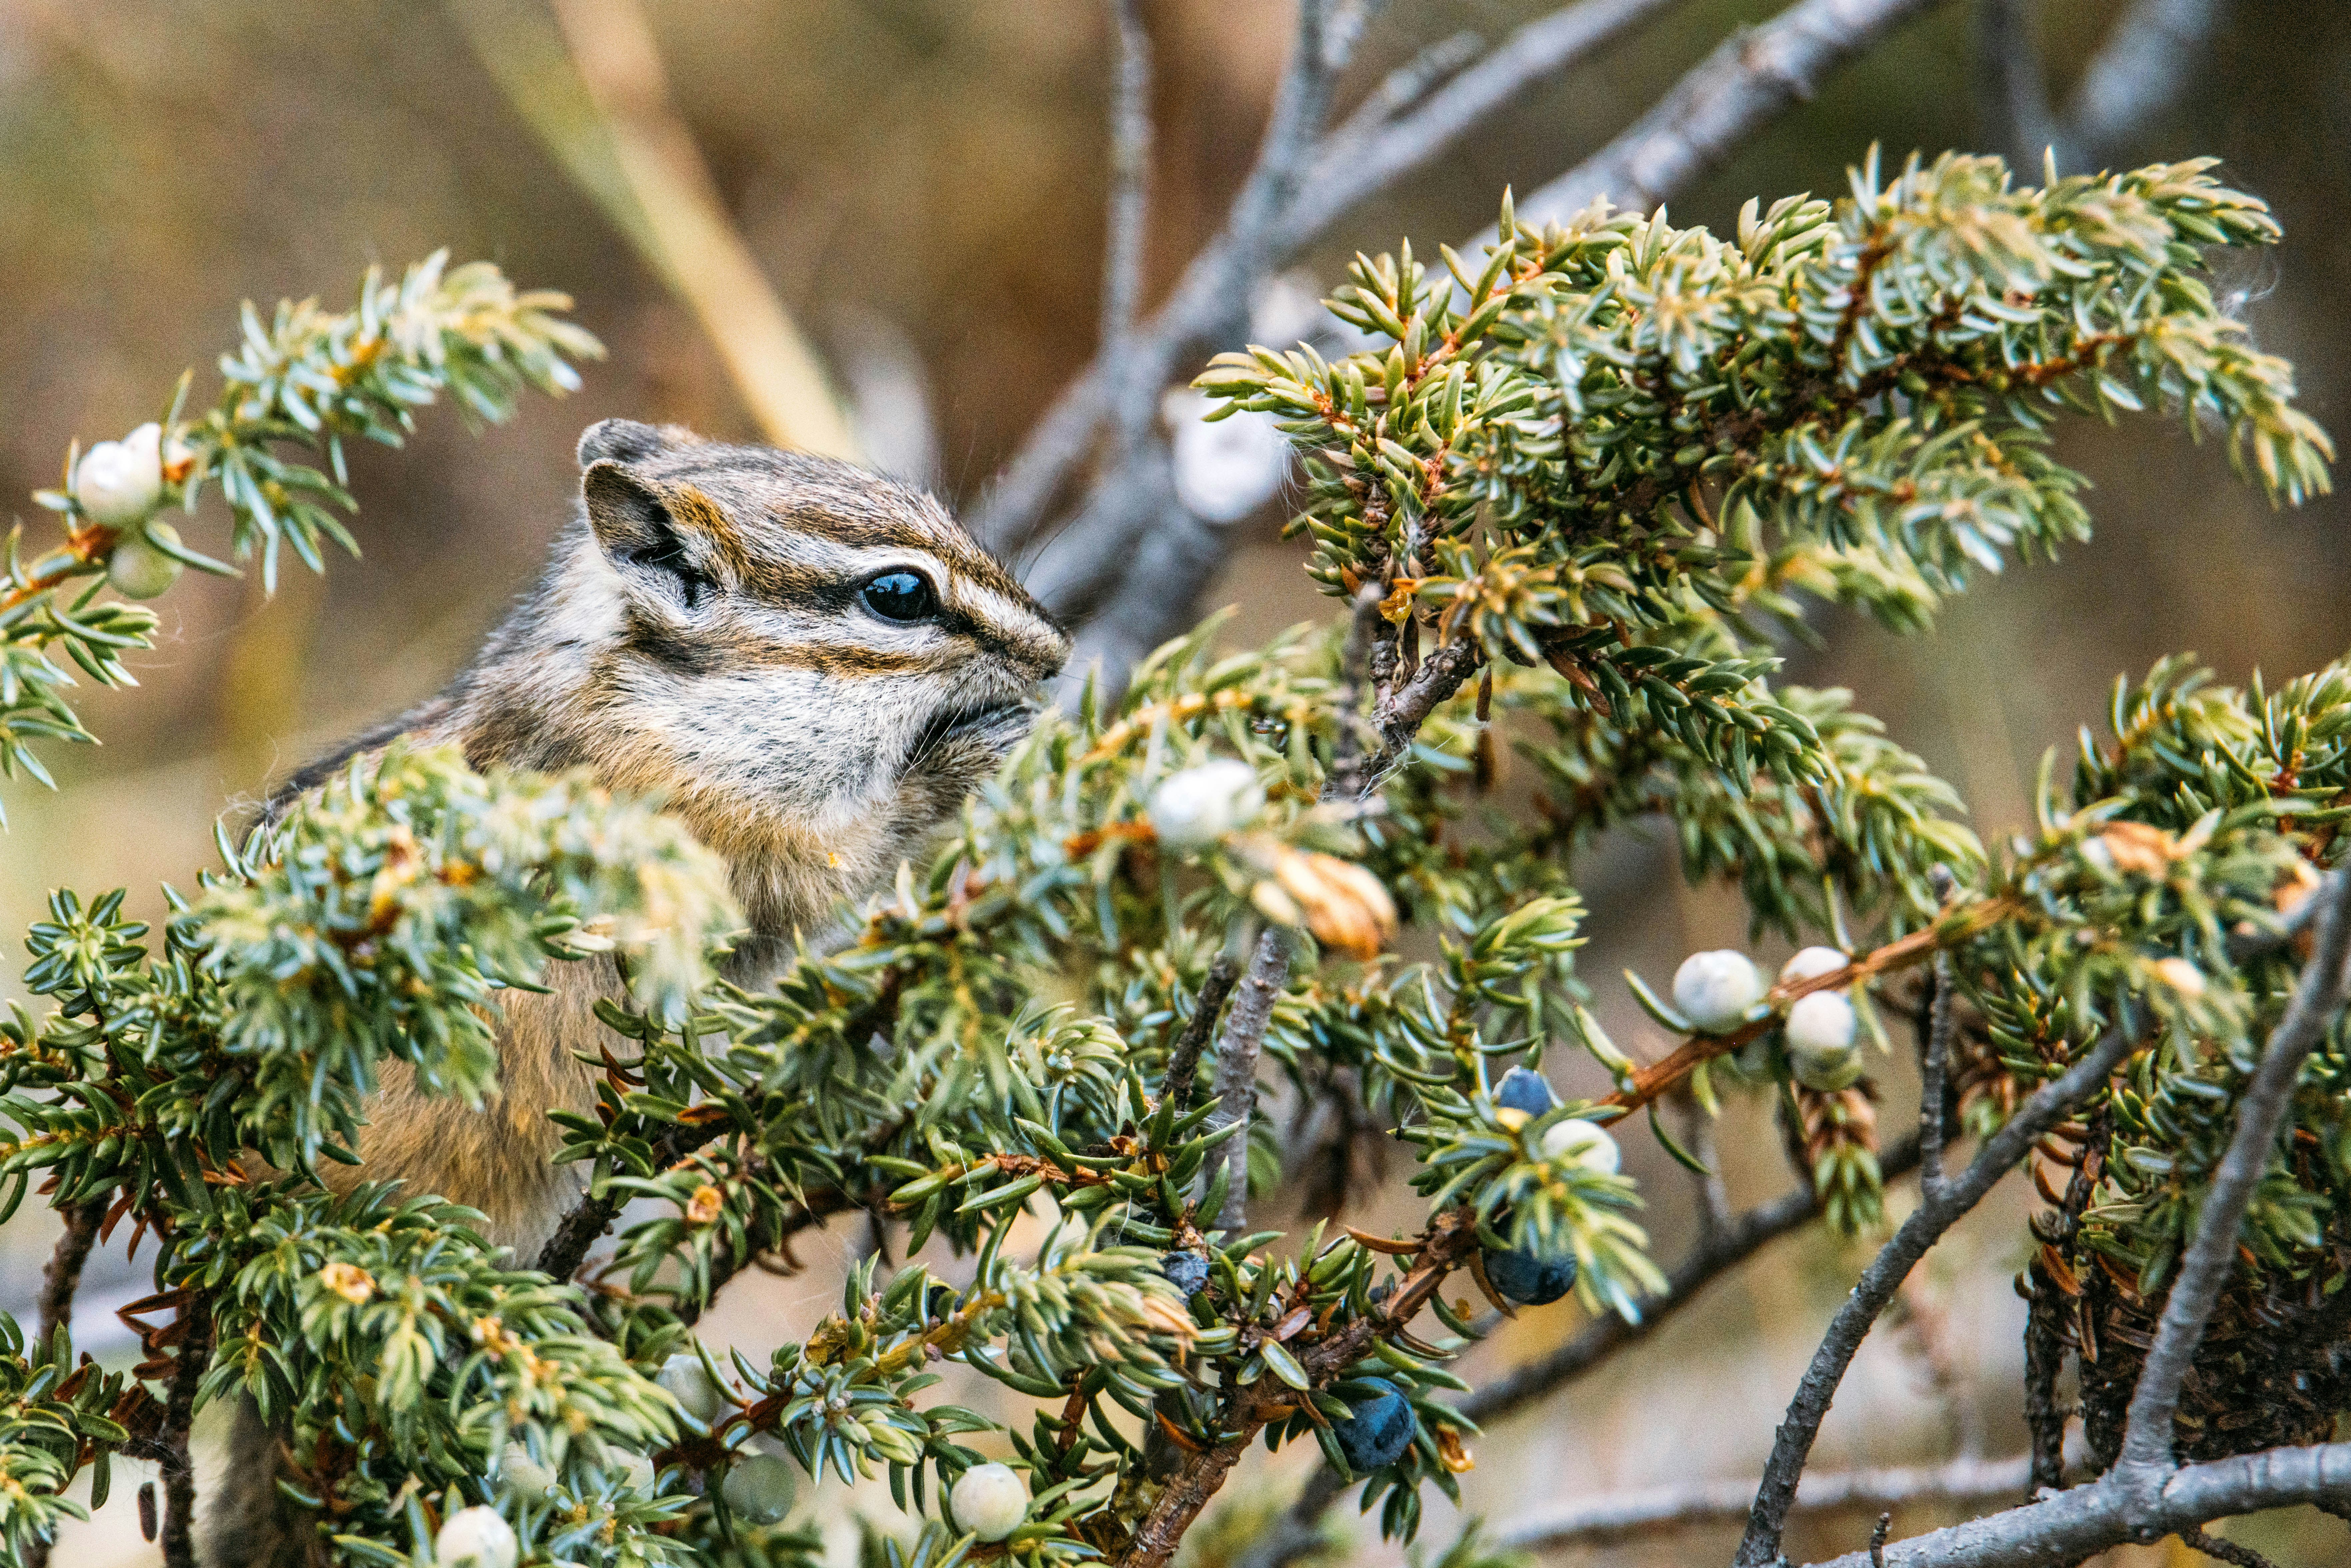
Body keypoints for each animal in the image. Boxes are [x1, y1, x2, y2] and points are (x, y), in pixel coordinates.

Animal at [204, 418, 1068, 1568]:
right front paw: (972, 756)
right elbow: (837, 861)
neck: (668, 692)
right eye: (898, 595)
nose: (1057, 652)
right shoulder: (713, 829)